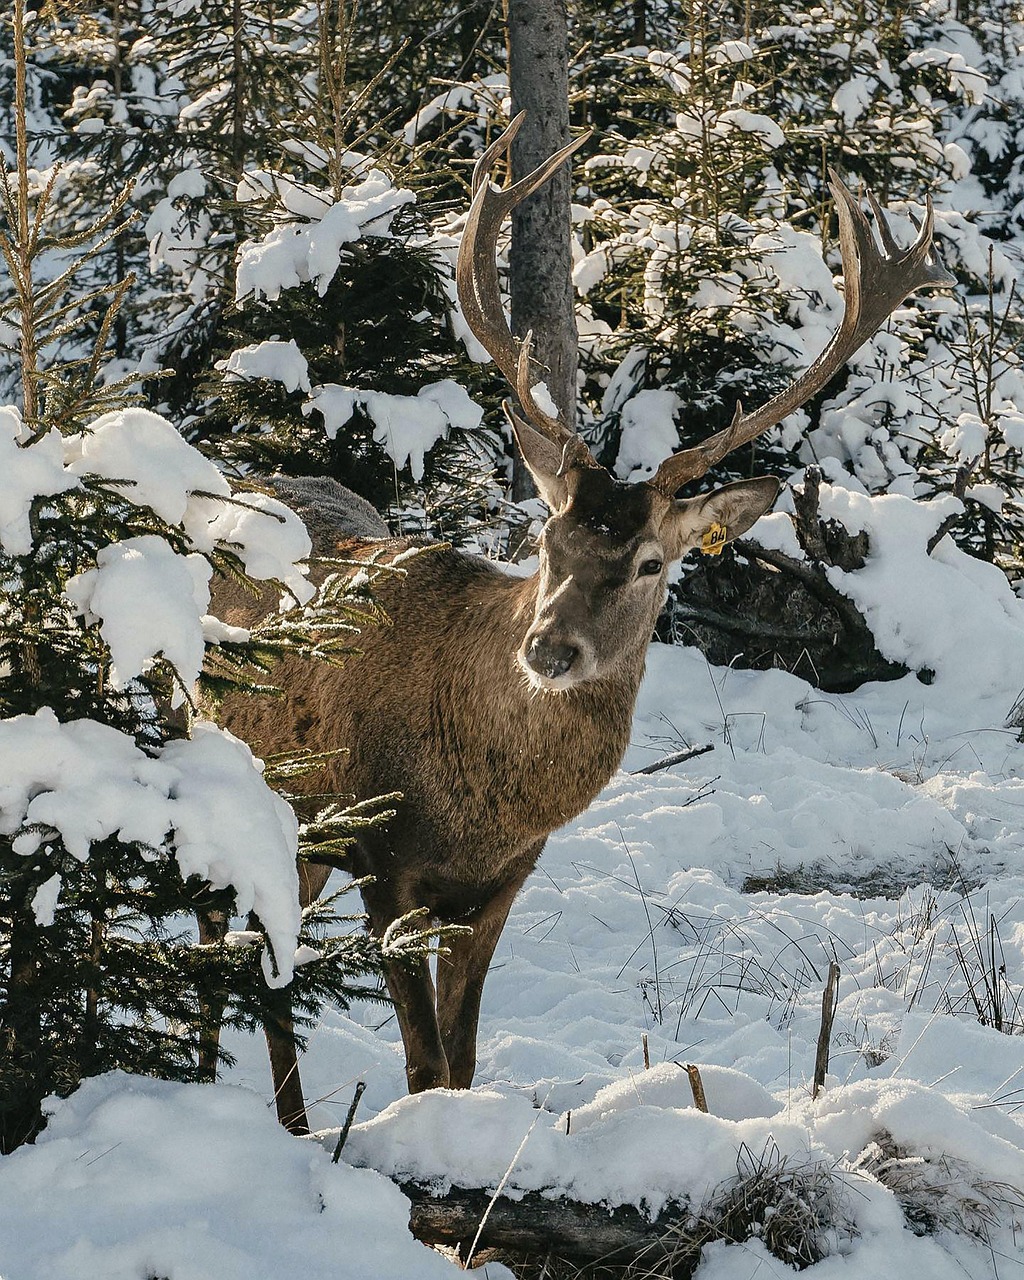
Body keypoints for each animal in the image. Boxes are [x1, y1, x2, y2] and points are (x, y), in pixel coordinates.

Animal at [211, 115, 951, 1133]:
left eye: (651, 563)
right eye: (546, 536)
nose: (549, 649)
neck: (480, 802)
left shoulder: (499, 884)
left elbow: (461, 1061)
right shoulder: (384, 861)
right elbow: (422, 1063)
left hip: (300, 831)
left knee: (263, 956)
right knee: (225, 941)